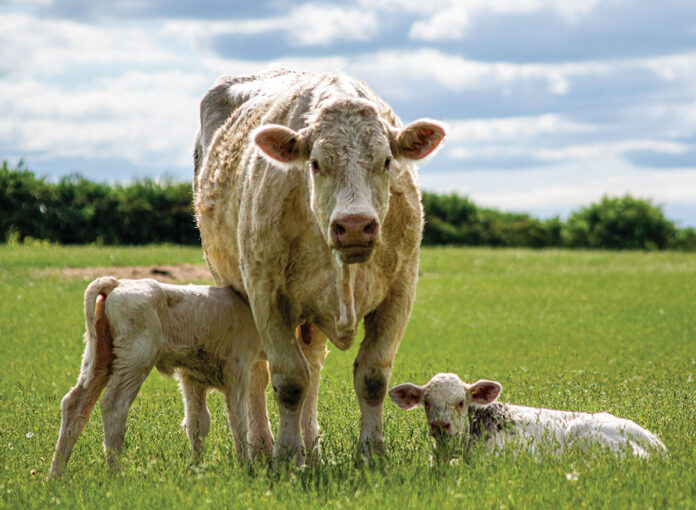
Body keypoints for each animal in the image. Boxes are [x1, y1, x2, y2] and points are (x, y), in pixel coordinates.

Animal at [49, 277, 263, 479]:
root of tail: (117, 282)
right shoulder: (239, 370)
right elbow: (238, 420)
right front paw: (246, 468)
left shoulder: (192, 377)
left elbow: (197, 421)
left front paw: (196, 468)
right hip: (135, 358)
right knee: (113, 404)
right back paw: (114, 474)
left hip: (99, 358)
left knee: (75, 404)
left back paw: (55, 475)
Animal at [194, 68, 446, 464]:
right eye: (315, 163)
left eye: (386, 161)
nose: (355, 225)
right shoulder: (266, 293)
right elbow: (288, 382)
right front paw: (285, 456)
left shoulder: (400, 290)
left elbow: (372, 378)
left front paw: (372, 453)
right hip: (235, 292)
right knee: (258, 372)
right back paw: (263, 447)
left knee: (312, 365)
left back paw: (312, 448)